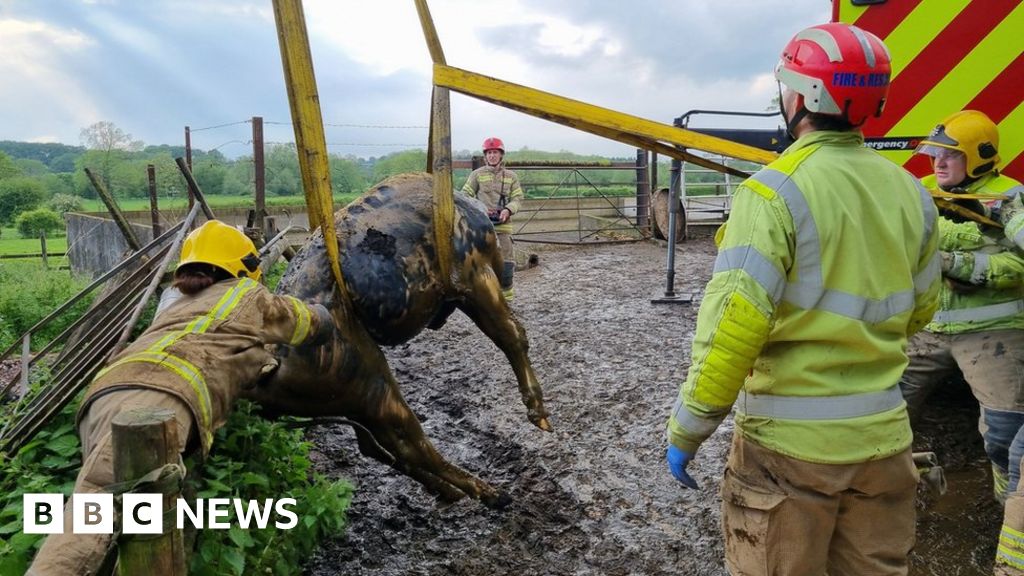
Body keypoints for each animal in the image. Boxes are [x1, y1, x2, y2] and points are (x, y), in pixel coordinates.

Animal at [242, 172, 550, 508]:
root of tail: (267, 363)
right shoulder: (475, 277)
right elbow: (512, 335)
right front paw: (539, 415)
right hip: (371, 382)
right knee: (410, 442)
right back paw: (489, 492)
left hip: (345, 399)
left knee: (375, 446)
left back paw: (450, 491)